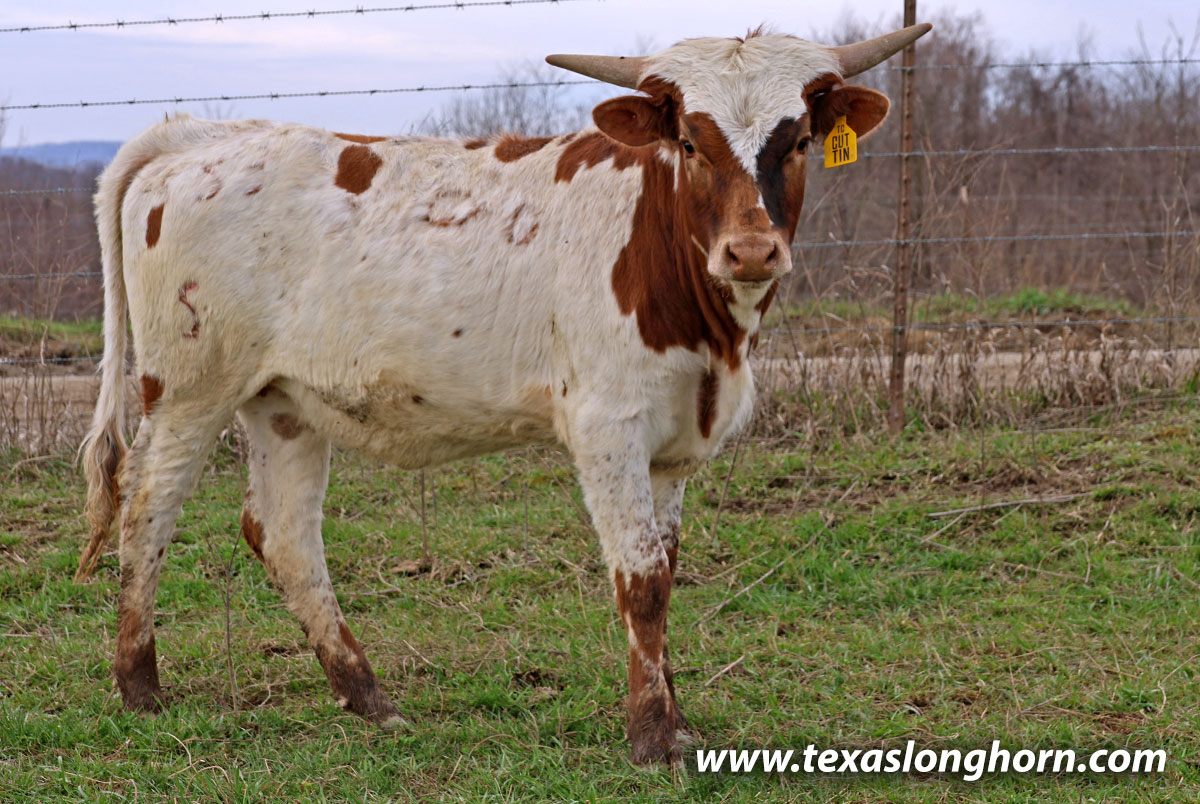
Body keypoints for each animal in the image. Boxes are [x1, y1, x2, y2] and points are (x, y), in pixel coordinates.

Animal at [77, 23, 930, 765]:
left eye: (800, 140)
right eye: (690, 142)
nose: (751, 250)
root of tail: (200, 135)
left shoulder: (674, 445)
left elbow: (665, 570)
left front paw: (677, 718)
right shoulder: (608, 427)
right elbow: (642, 582)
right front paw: (652, 737)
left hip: (283, 402)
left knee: (285, 536)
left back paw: (369, 696)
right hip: (189, 389)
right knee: (148, 507)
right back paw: (139, 685)